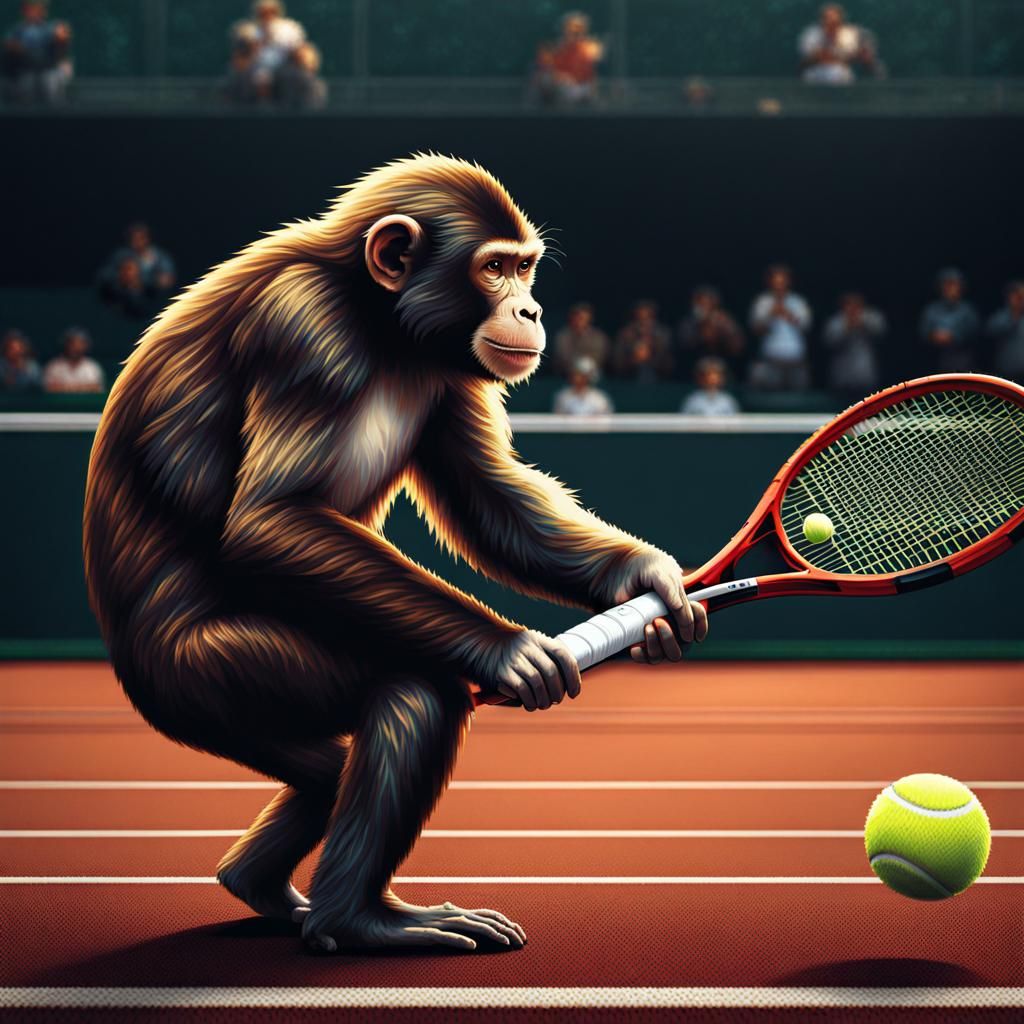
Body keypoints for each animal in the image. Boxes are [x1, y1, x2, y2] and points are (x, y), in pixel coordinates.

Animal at [83, 154, 709, 953]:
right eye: (494, 268)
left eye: (526, 268)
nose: (533, 311)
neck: (379, 320)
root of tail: (133, 675)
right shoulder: (304, 334)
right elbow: (271, 517)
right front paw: (512, 652)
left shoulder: (451, 372)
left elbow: (490, 501)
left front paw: (651, 584)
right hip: (208, 671)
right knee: (415, 695)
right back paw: (360, 920)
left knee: (329, 769)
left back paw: (262, 883)